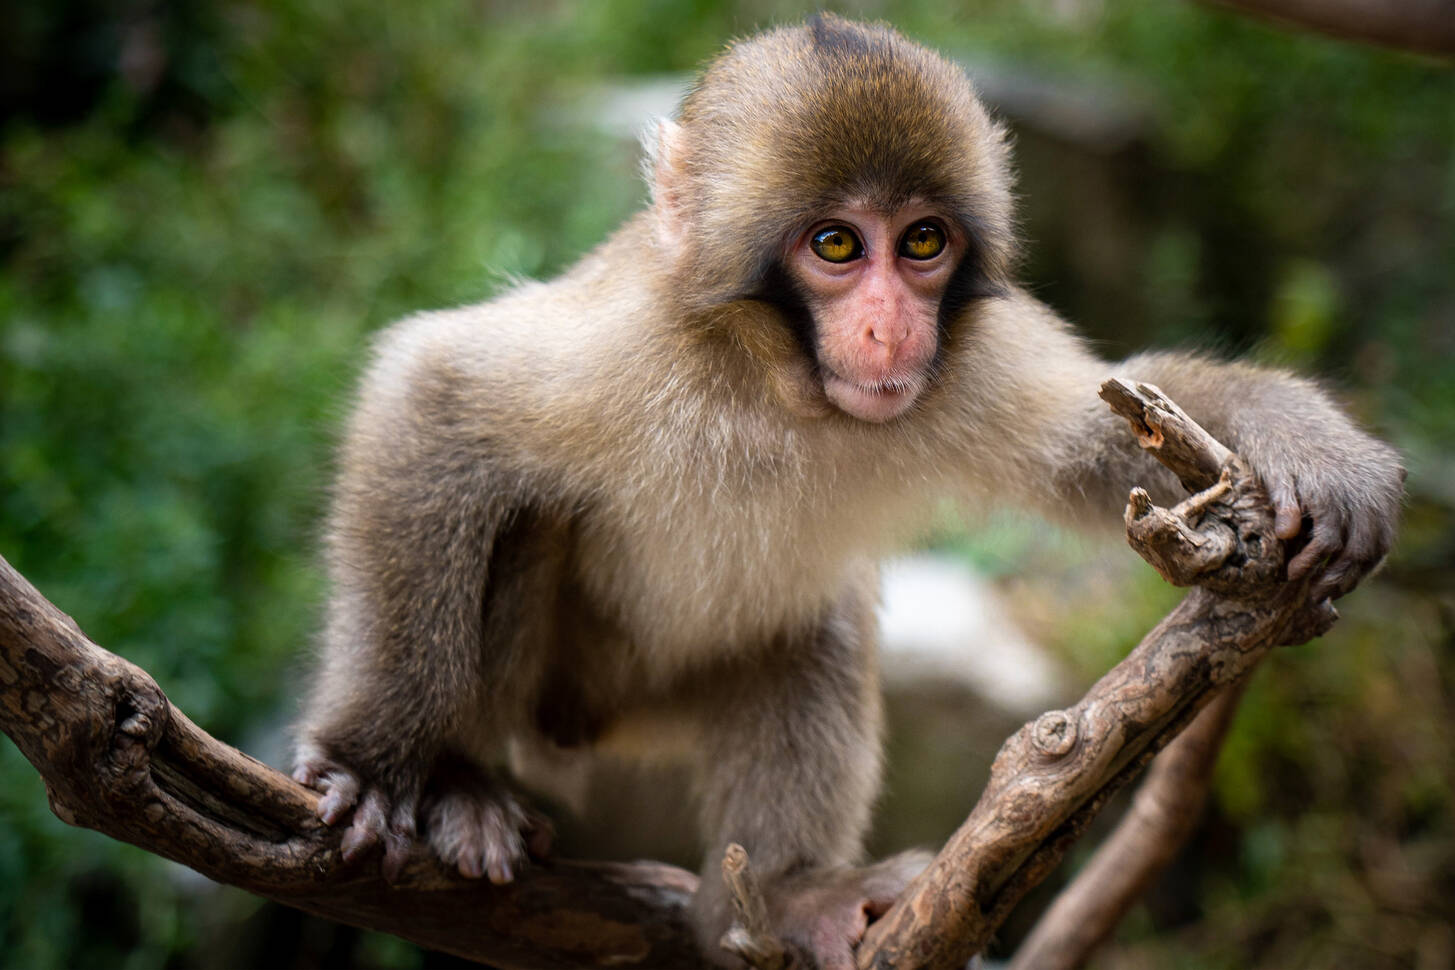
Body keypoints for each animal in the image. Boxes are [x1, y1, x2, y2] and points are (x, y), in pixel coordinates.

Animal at [292, 15, 1403, 969]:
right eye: (835, 245)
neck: (780, 390)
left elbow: (1106, 428)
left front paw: (1308, 442)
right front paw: (379, 766)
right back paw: (465, 782)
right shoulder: (625, 345)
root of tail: (585, 728)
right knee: (524, 517)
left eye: (921, 243)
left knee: (814, 619)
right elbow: (432, 394)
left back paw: (785, 892)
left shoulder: (967, 362)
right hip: (562, 691)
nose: (888, 325)